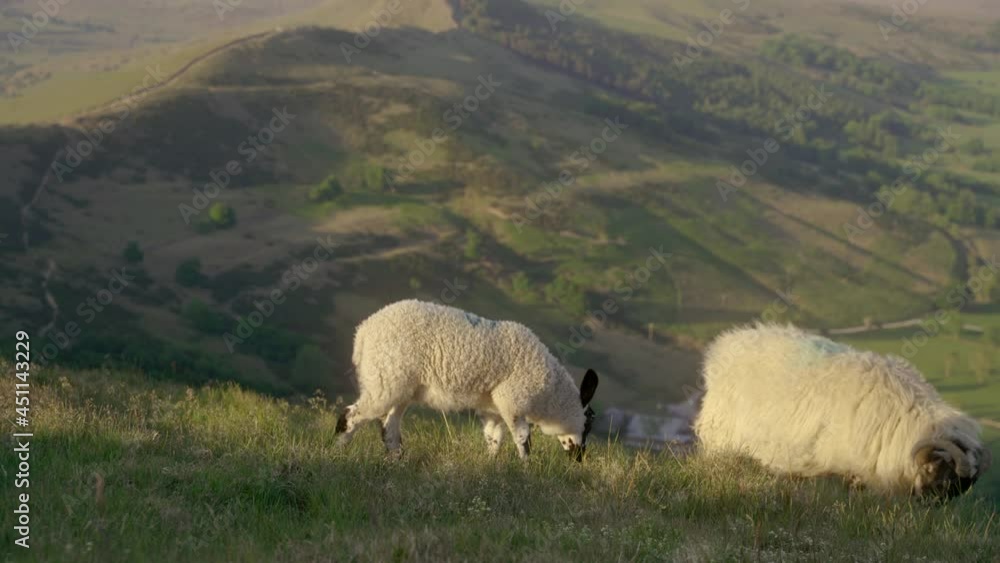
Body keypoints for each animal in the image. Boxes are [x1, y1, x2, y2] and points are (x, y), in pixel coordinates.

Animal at [335, 299, 600, 460]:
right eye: (588, 423)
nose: (579, 458)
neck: (549, 392)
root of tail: (363, 333)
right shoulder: (512, 399)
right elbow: (523, 438)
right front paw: (527, 467)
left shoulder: (493, 407)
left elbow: (494, 437)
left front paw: (492, 465)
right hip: (384, 379)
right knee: (350, 416)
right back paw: (338, 454)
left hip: (399, 387)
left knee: (389, 428)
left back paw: (396, 460)